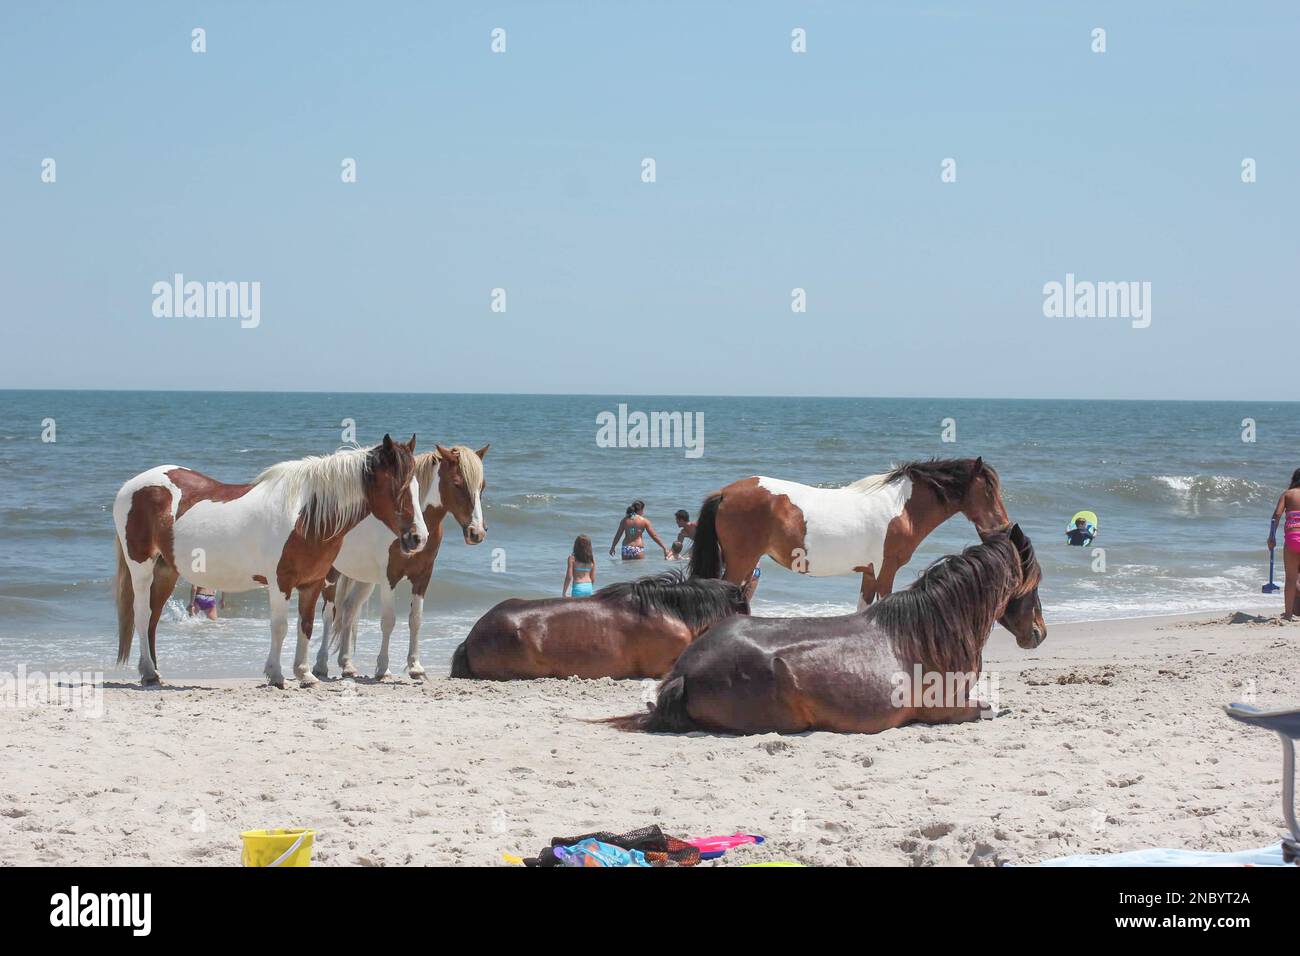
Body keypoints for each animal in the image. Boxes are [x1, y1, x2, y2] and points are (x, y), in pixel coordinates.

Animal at [112, 436, 427, 688]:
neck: (305, 516)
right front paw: (275, 674)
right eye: (397, 488)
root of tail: (130, 486)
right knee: (142, 615)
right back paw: (149, 672)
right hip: (141, 568)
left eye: (416, 486)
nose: (418, 538)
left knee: (153, 619)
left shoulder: (312, 583)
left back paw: (154, 673)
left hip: (166, 570)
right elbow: (280, 626)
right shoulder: (280, 583)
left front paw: (304, 674)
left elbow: (306, 625)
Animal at [314, 444, 489, 680]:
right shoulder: (390, 577)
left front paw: (416, 667)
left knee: (349, 610)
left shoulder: (423, 577)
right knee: (328, 613)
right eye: (457, 483)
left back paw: (347, 665)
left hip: (364, 579)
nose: (476, 532)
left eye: (482, 486)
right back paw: (321, 664)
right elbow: (388, 621)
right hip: (332, 574)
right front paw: (383, 669)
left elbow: (416, 619)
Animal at [607, 524, 1043, 735]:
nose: (1038, 632)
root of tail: (685, 673)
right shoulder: (949, 709)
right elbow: (992, 709)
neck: (925, 631)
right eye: (1035, 579)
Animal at [689, 457, 1009, 608]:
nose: (1003, 528)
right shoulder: (885, 571)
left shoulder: (869, 574)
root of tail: (725, 493)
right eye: (988, 489)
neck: (901, 507)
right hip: (741, 562)